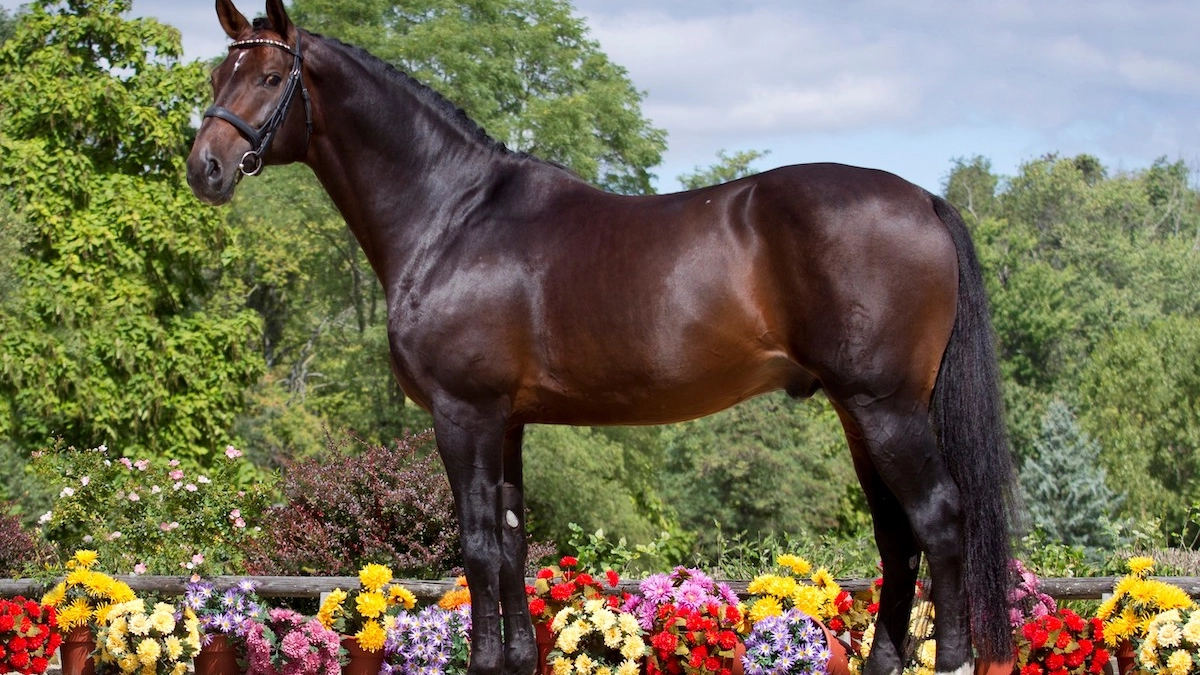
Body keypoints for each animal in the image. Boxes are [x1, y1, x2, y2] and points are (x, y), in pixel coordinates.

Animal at [187, 2, 1016, 674]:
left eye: (269, 76)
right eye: (218, 71)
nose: (206, 169)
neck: (453, 215)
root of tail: (925, 199)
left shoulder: (463, 413)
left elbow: (477, 545)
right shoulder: (507, 421)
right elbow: (512, 544)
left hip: (887, 406)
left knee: (940, 518)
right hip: (859, 412)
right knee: (897, 533)